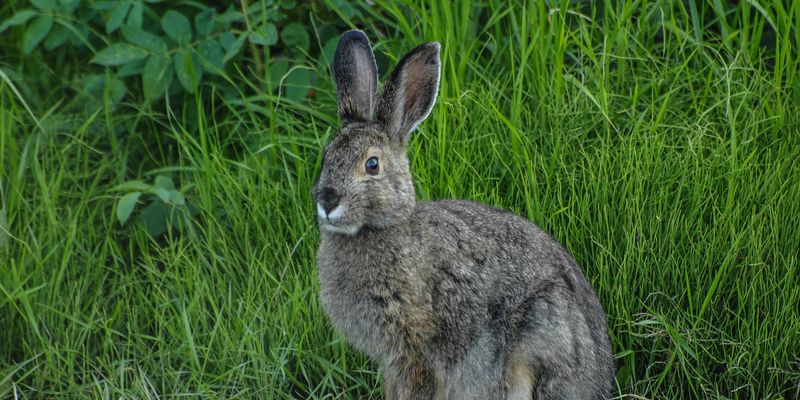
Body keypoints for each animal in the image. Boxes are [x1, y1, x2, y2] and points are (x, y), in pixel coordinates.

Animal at [313, 30, 614, 400]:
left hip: (533, 347)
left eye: (372, 165)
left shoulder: (415, 346)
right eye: (327, 157)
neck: (381, 229)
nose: (327, 201)